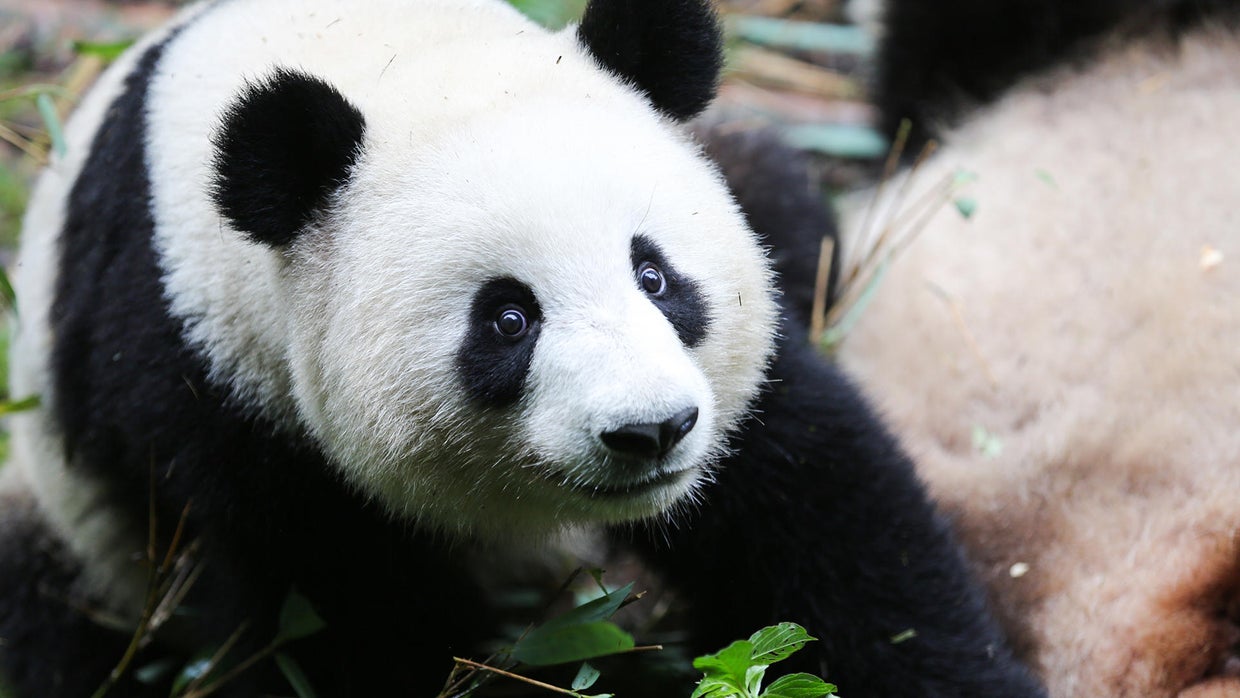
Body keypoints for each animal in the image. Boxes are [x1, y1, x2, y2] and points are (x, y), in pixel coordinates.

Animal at [0, 0, 1048, 695]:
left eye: (654, 275)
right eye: (508, 318)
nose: (650, 432)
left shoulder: (734, 386)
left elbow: (824, 511)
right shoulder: (208, 380)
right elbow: (335, 619)